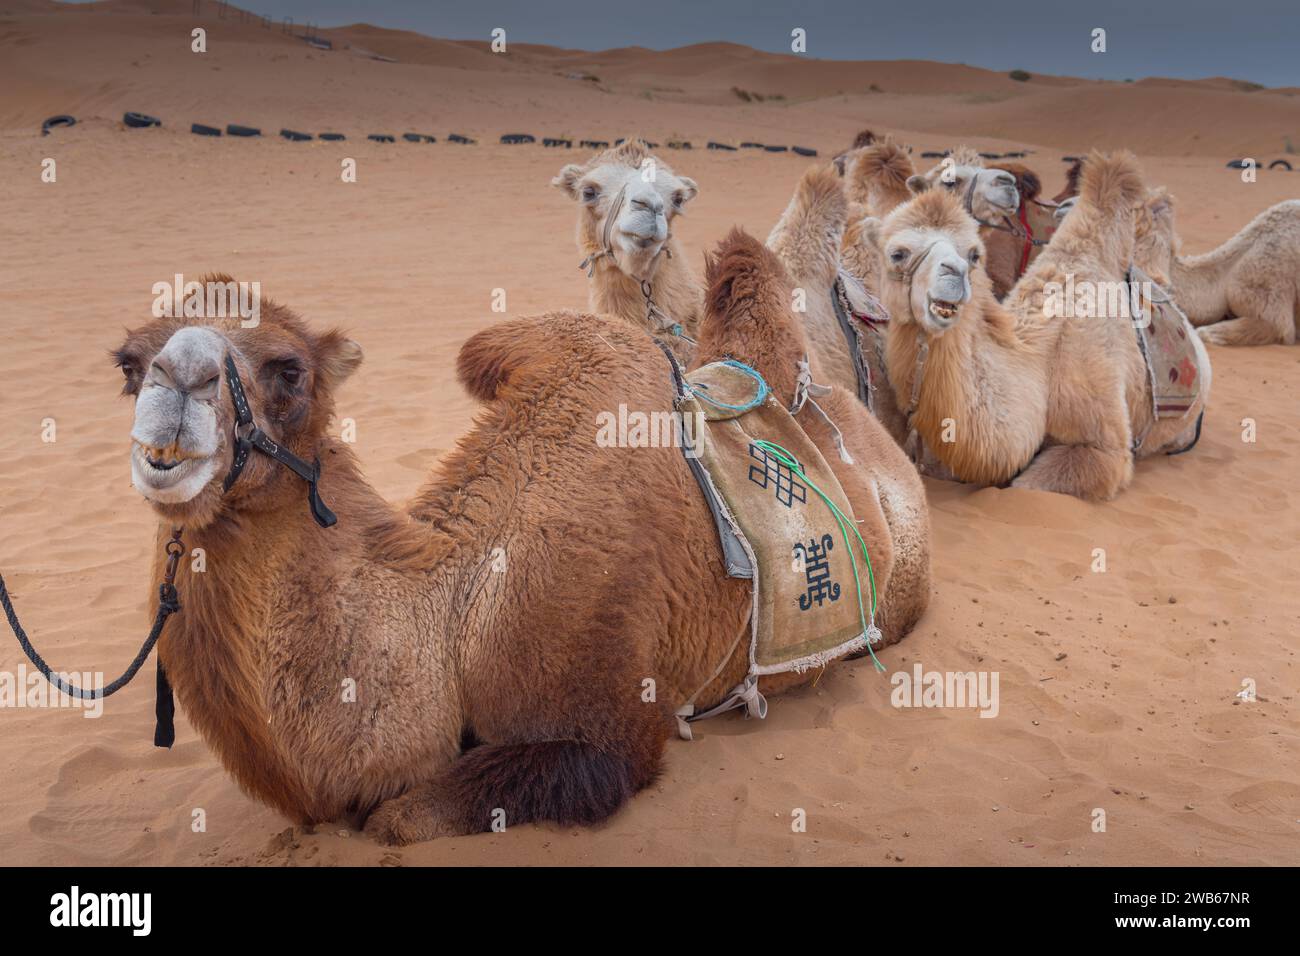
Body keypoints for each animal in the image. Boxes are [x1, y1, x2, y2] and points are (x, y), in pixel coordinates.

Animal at [111, 277, 929, 844]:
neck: (456, 610)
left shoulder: (608, 726)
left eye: (288, 369)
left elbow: (396, 820)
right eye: (128, 363)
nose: (175, 385)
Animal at [861, 152, 1211, 500]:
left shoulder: (1104, 450)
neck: (1041, 366)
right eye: (897, 254)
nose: (954, 276)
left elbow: (1025, 484)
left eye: (974, 254)